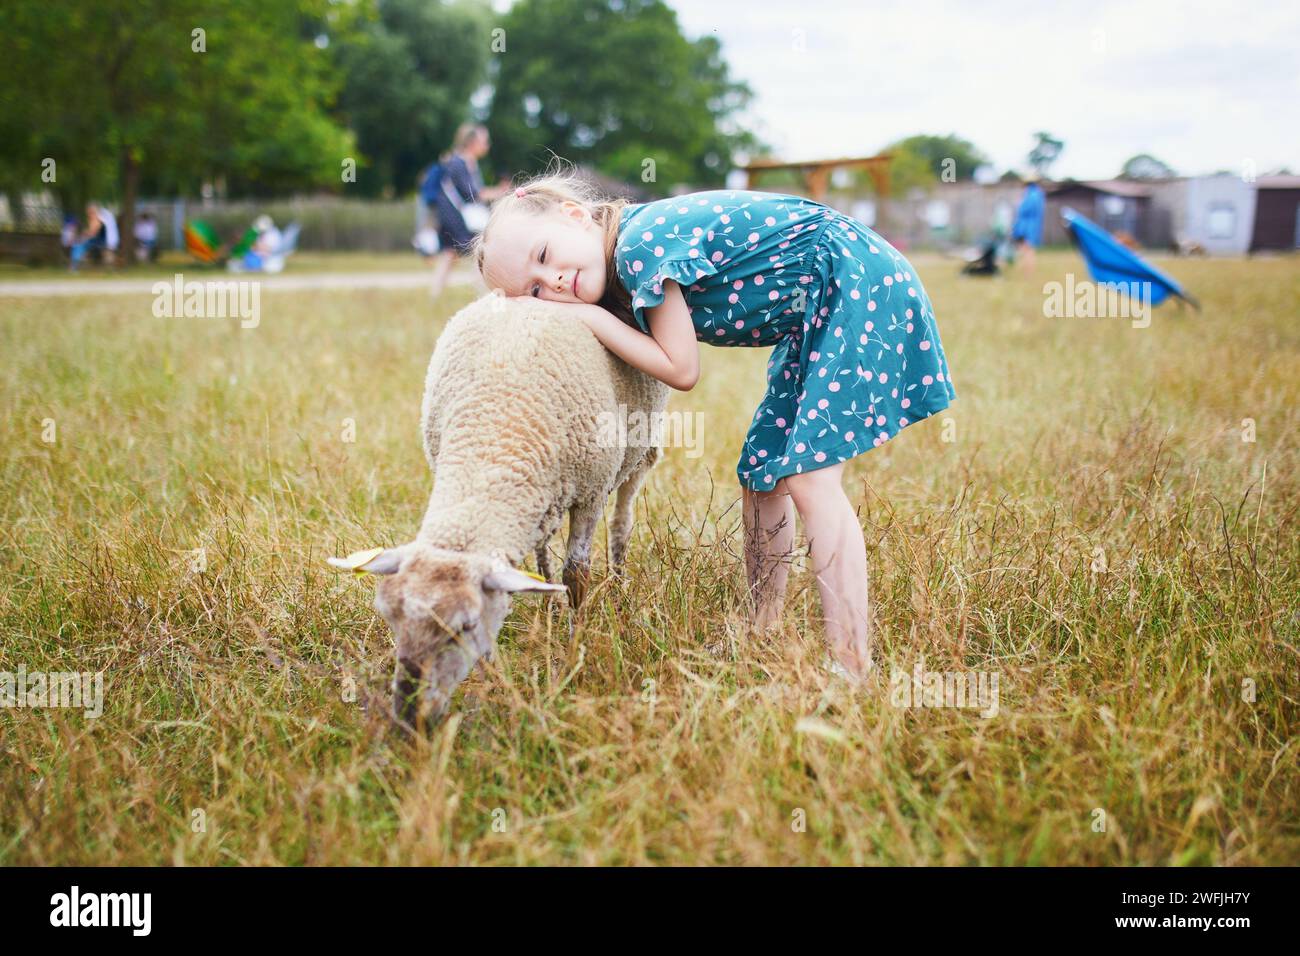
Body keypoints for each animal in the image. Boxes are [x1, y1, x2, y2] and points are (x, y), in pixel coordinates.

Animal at [329, 288, 669, 730]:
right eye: (389, 617)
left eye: (466, 625)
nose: (410, 721)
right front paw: (493, 672)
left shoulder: (591, 492)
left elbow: (576, 573)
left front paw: (575, 649)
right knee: (542, 548)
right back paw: (548, 600)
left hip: (640, 452)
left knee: (622, 521)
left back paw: (616, 583)